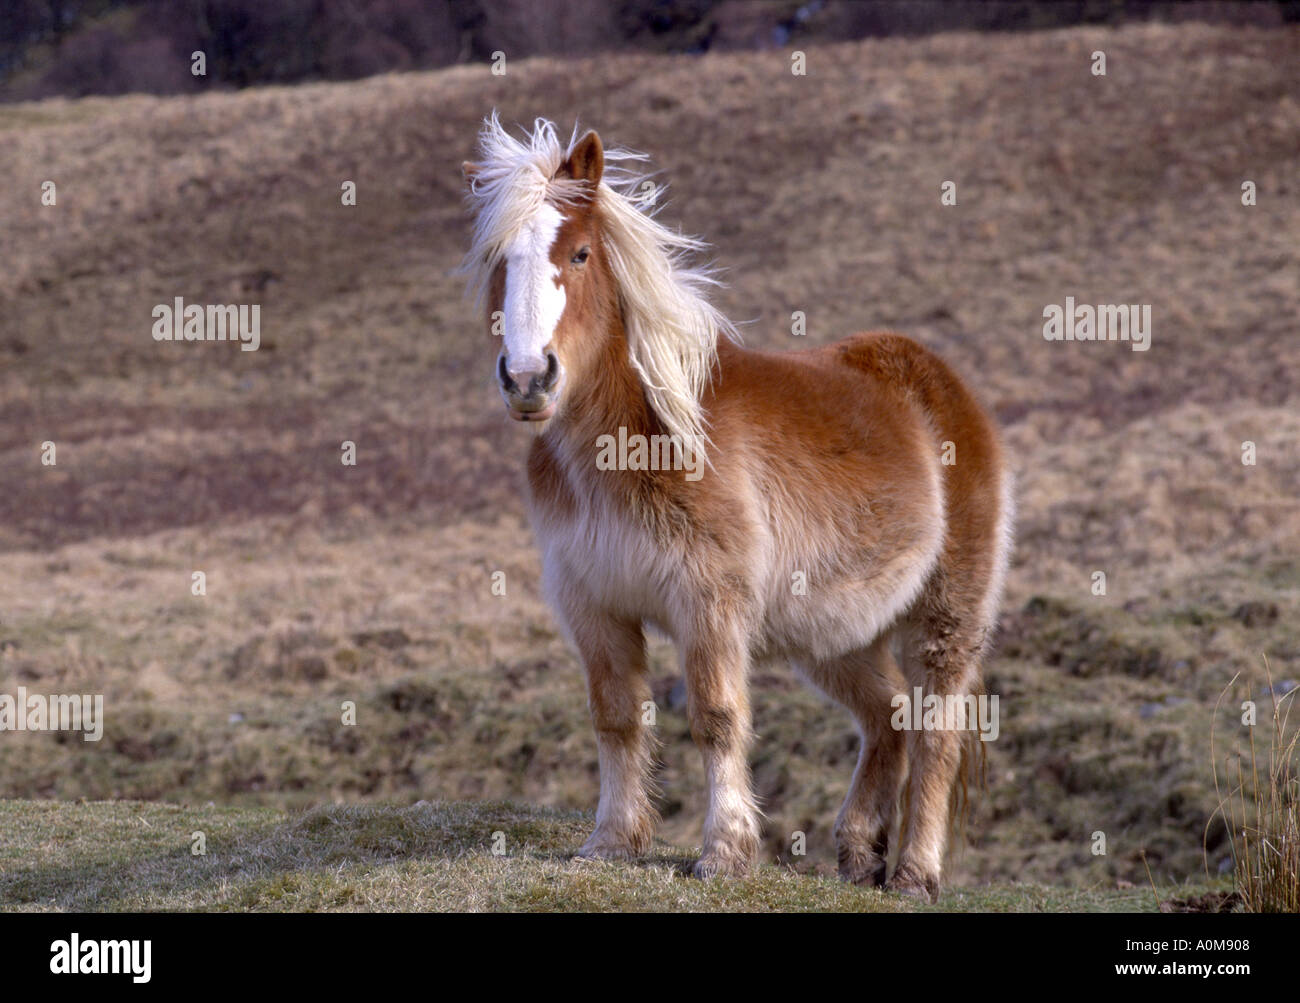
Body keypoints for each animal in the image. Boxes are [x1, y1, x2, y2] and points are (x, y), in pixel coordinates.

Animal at [459, 114, 1013, 900]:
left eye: (580, 252)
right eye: (497, 261)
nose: (529, 378)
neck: (636, 440)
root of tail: (941, 383)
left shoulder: (708, 602)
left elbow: (717, 719)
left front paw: (723, 852)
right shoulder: (593, 604)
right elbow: (615, 717)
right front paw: (611, 842)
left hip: (945, 618)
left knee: (935, 729)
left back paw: (913, 873)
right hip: (838, 634)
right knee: (889, 717)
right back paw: (859, 855)